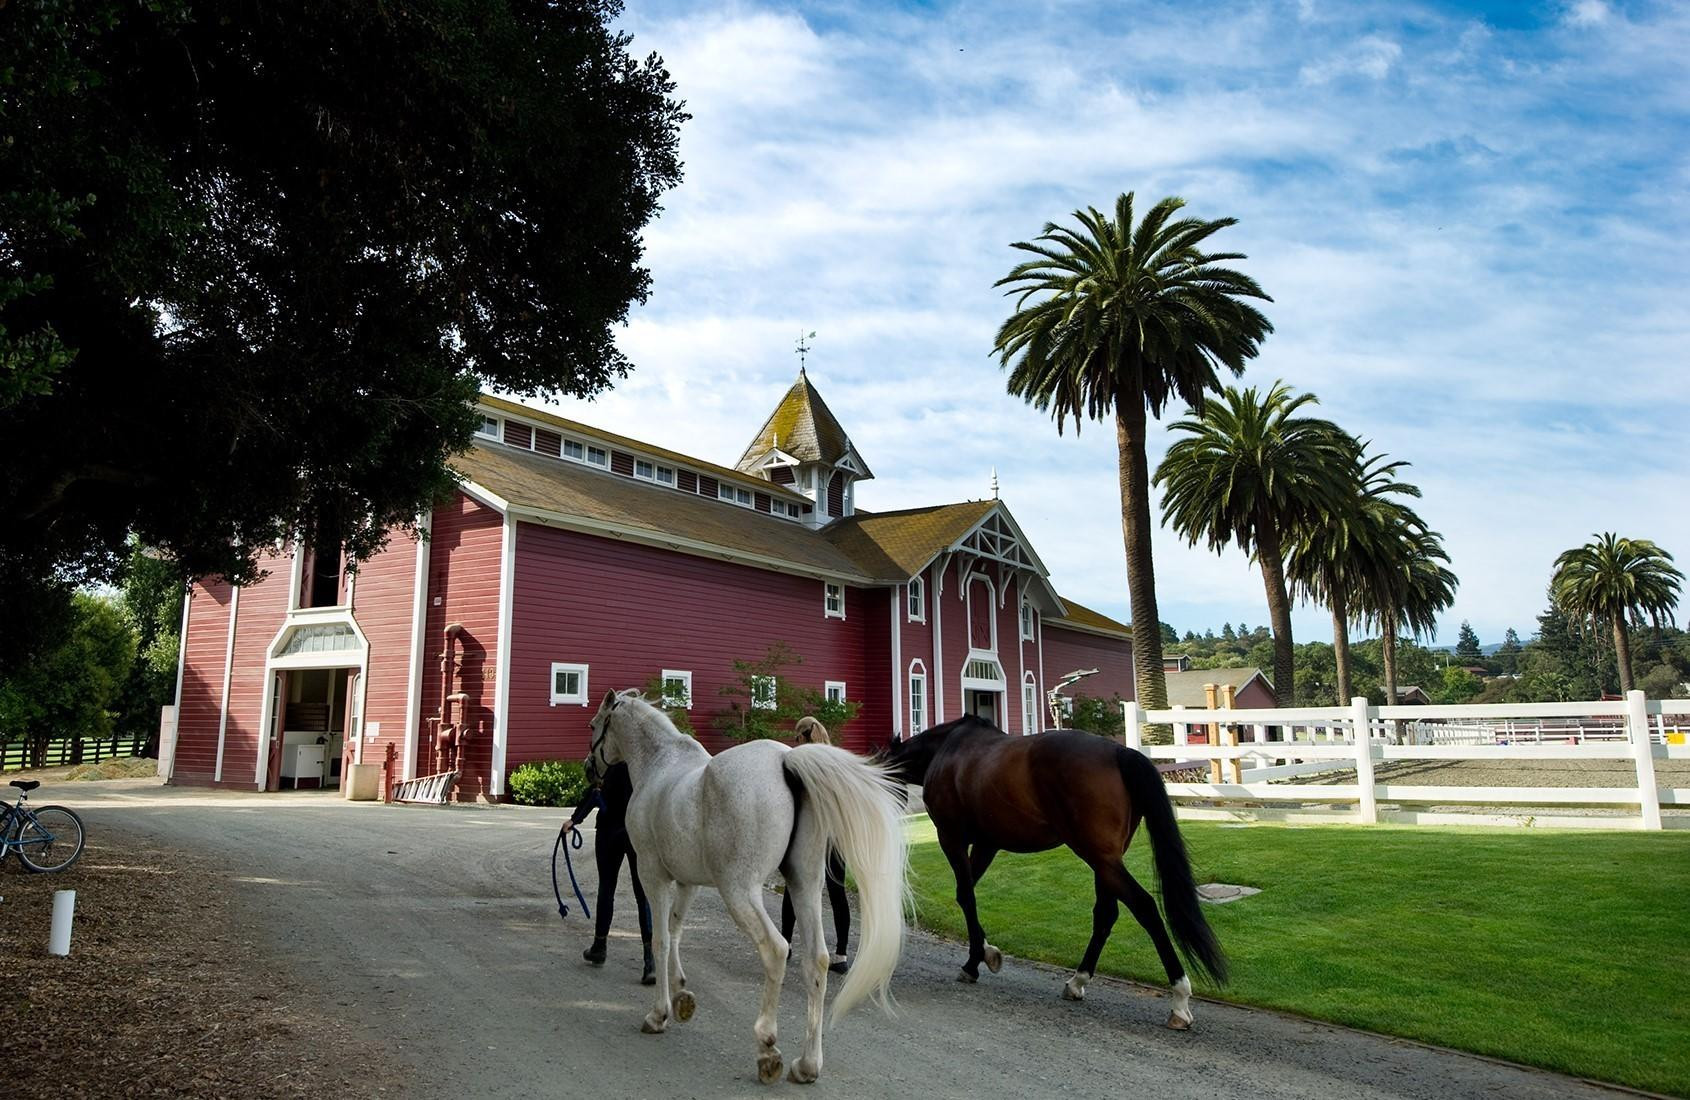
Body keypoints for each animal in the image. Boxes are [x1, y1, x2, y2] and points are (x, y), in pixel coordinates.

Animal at [587, 690, 909, 1084]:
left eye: (594, 725)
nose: (589, 769)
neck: (660, 765)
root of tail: (787, 760)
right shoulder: (688, 881)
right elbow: (677, 930)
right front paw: (681, 995)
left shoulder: (652, 874)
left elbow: (660, 938)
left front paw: (659, 1013)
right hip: (804, 886)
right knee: (816, 959)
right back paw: (807, 1065)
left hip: (739, 891)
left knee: (776, 949)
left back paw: (768, 1048)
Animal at [883, 716, 1226, 1029]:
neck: (946, 750)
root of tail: (1119, 751)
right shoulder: (986, 844)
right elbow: (966, 896)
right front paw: (986, 954)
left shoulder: (951, 839)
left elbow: (965, 897)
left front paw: (974, 962)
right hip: (1106, 859)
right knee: (1106, 914)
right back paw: (1078, 981)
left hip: (1098, 857)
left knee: (1144, 907)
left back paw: (1179, 999)